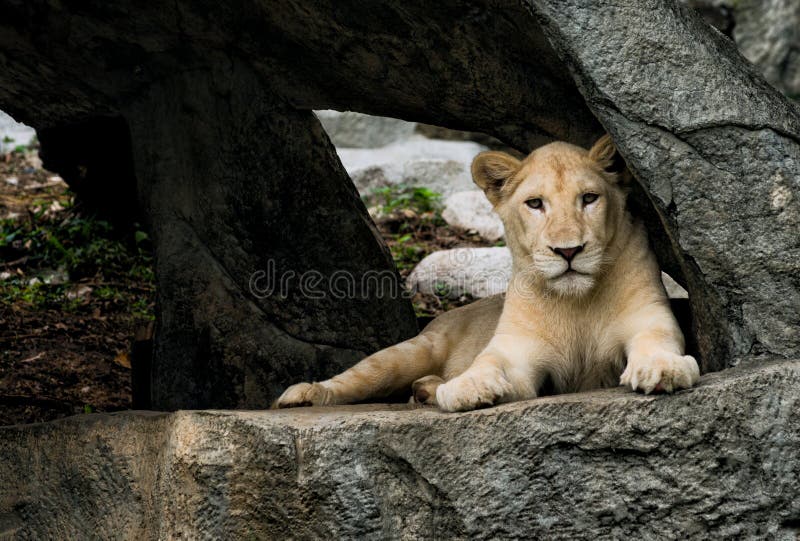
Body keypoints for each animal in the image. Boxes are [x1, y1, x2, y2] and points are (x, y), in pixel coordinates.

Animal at [274, 135, 700, 412]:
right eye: (535, 204)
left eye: (590, 198)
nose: (567, 251)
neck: (577, 301)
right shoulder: (516, 350)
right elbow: (488, 362)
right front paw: (466, 387)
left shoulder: (650, 318)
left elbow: (655, 341)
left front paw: (663, 368)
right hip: (410, 351)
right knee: (362, 376)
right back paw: (305, 394)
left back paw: (426, 390)